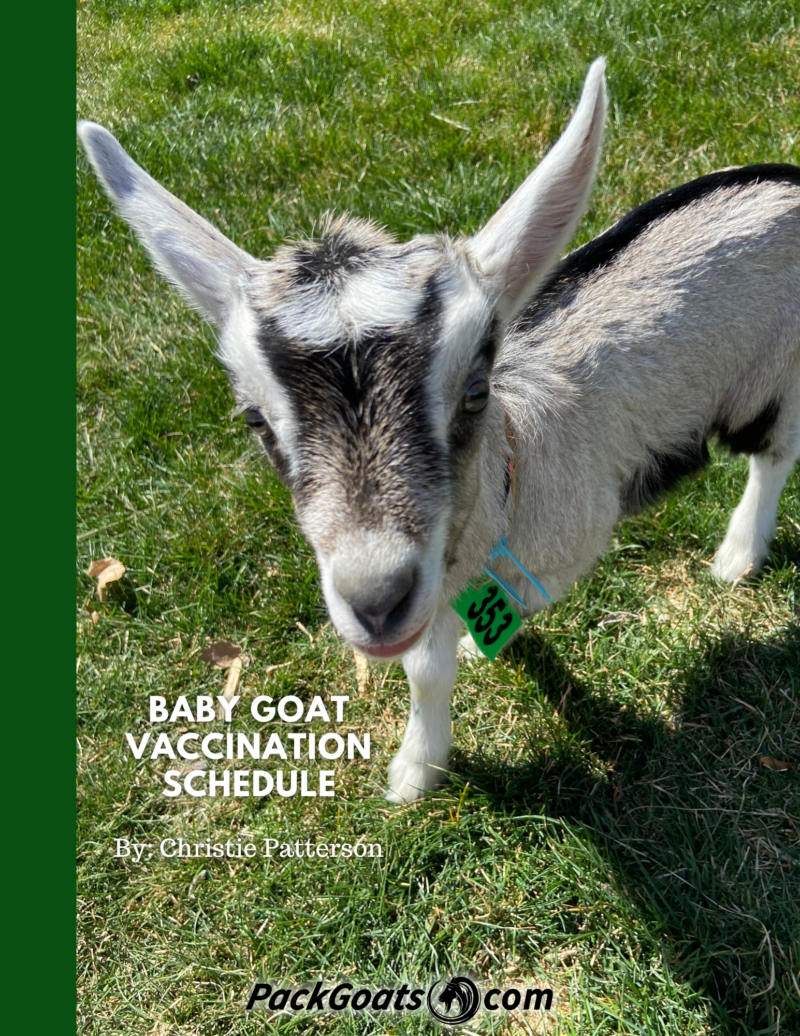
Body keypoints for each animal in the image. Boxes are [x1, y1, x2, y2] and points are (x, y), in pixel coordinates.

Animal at [79, 59, 800, 804]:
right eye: (254, 418)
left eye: (475, 390)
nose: (376, 600)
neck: (511, 474)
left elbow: (429, 665)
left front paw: (414, 774)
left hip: (778, 373)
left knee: (776, 453)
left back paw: (738, 555)